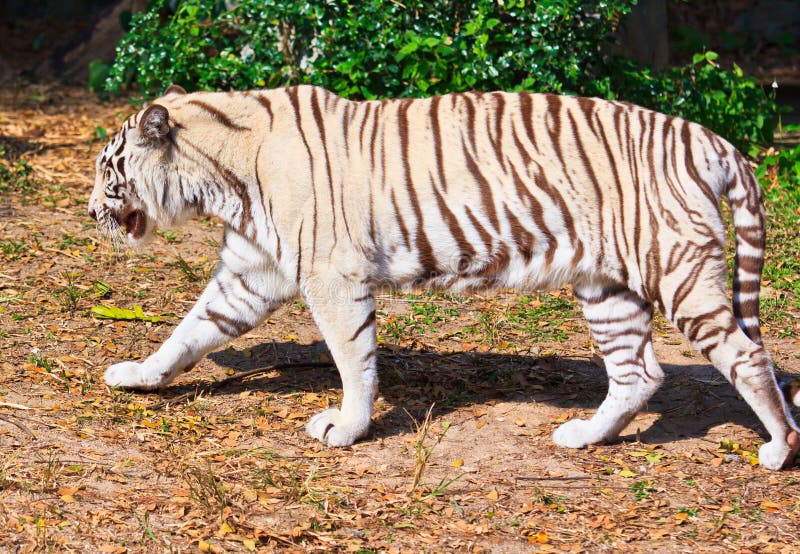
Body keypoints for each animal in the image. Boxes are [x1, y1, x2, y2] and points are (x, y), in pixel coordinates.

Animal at [89, 84, 800, 470]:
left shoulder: (332, 277)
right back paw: (581, 436)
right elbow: (188, 331)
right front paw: (138, 376)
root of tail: (709, 138)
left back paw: (779, 449)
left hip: (679, 273)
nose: (91, 210)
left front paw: (347, 429)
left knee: (747, 354)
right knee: (640, 374)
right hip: (607, 288)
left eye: (106, 170)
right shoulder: (250, 273)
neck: (221, 177)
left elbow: (353, 360)